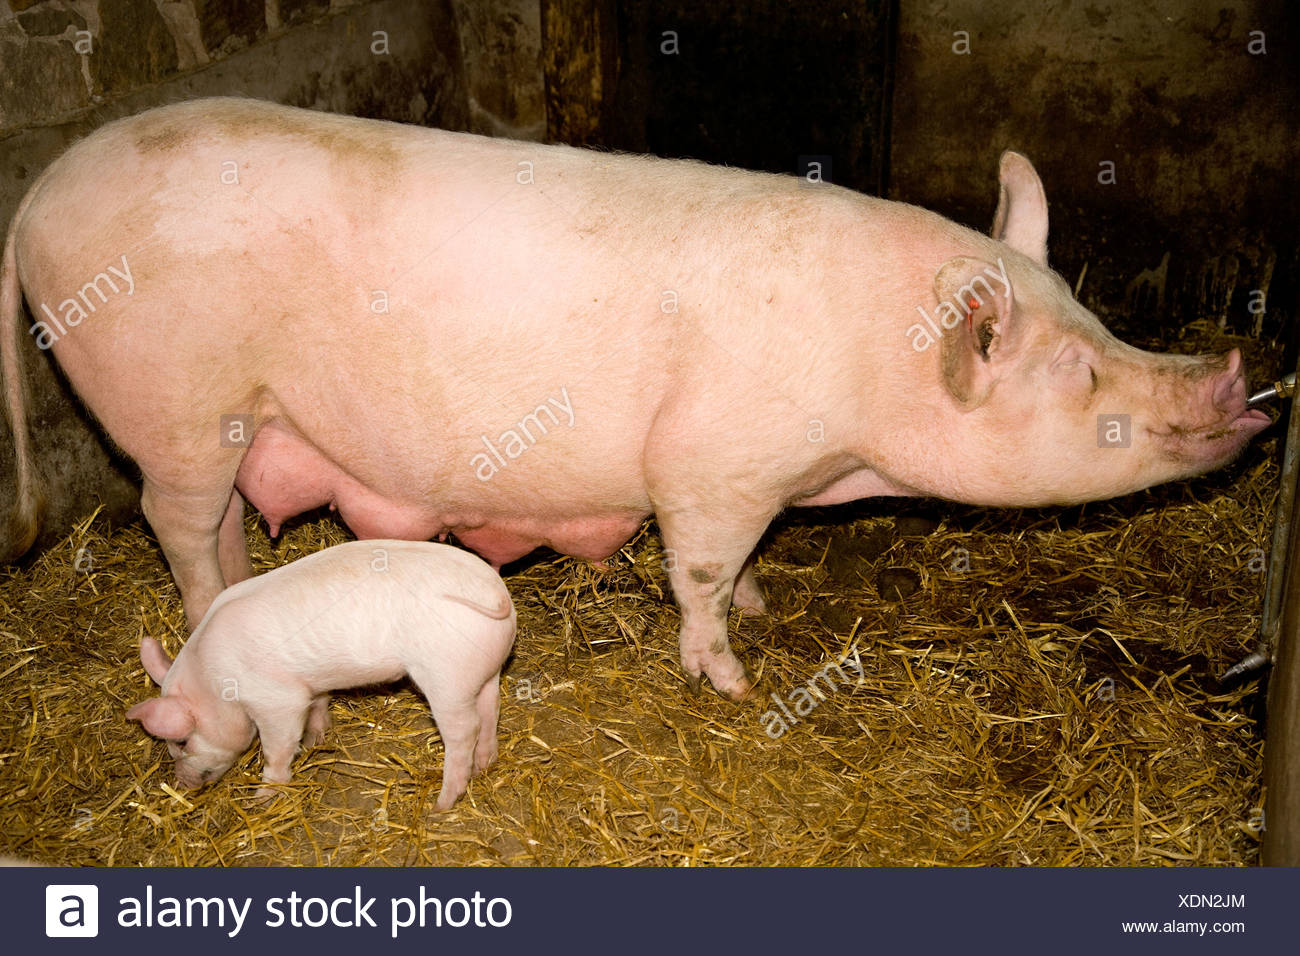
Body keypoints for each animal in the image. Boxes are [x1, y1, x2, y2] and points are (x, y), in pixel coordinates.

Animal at [2, 98, 1269, 702]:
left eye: (1096, 322)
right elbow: (696, 567)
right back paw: (211, 605)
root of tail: (36, 199)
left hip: (230, 415)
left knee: (216, 517)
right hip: (173, 403)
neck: (867, 392)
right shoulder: (710, 462)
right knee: (173, 520)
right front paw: (734, 673)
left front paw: (762, 602)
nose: (1248, 387)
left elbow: (741, 564)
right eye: (1082, 377)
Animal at [125, 540, 516, 809]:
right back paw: (485, 765)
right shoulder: (310, 684)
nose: (183, 785)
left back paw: (441, 805)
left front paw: (261, 799)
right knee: (490, 709)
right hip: (482, 670)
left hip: (445, 676)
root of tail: (495, 594)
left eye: (181, 742)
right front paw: (317, 739)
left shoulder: (277, 699)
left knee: (465, 730)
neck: (213, 680)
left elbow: (279, 748)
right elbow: (319, 706)